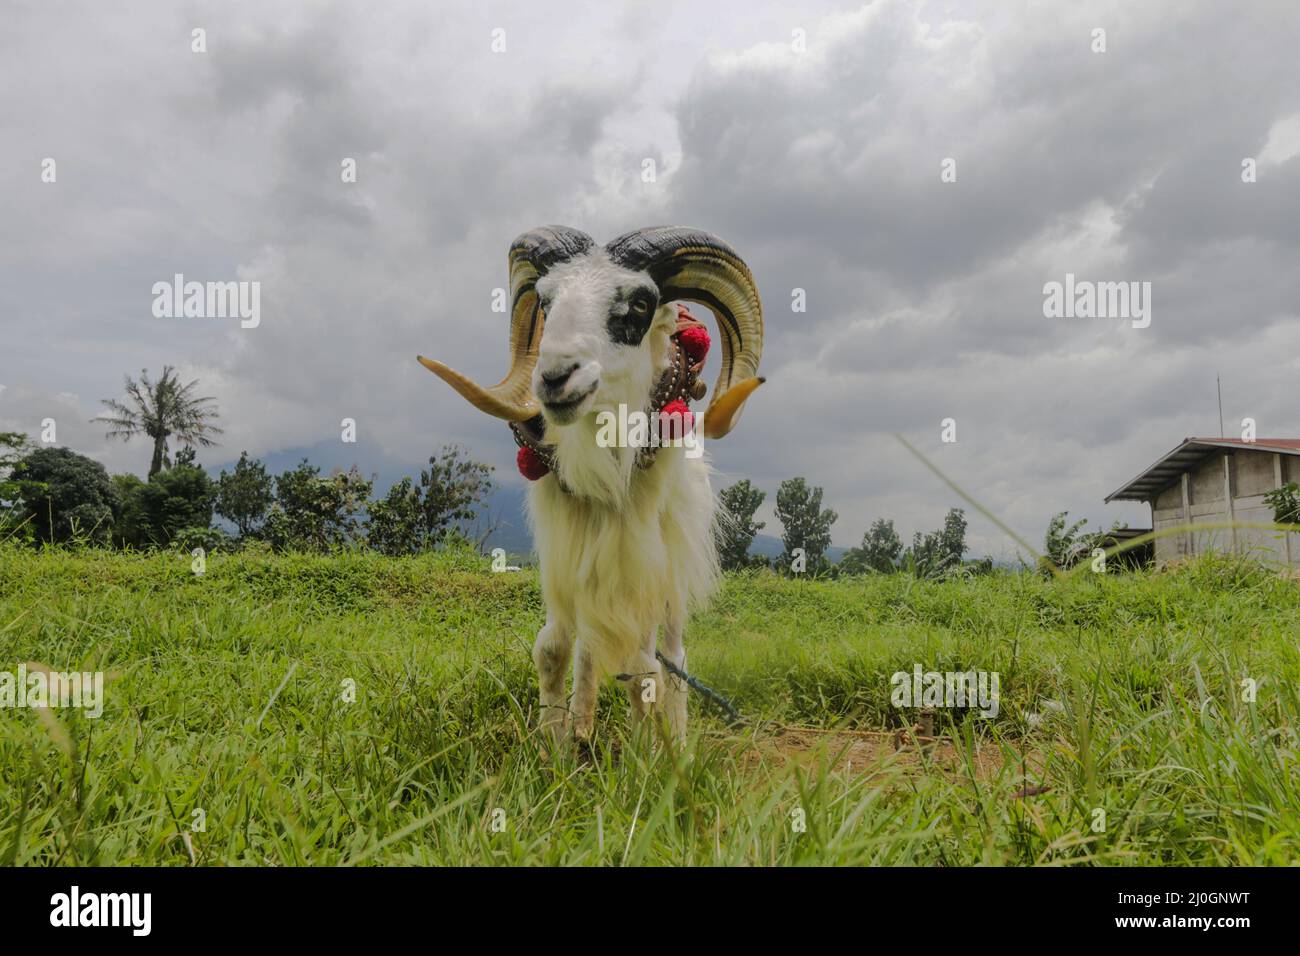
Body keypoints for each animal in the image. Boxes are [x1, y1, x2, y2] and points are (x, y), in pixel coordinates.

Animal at [419, 226, 764, 746]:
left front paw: (646, 757)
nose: (554, 377)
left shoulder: (641, 568)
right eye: (545, 300)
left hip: (673, 577)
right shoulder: (563, 558)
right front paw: (552, 746)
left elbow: (644, 671)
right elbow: (554, 648)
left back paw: (678, 740)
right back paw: (582, 724)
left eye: (640, 304)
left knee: (674, 656)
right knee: (588, 645)